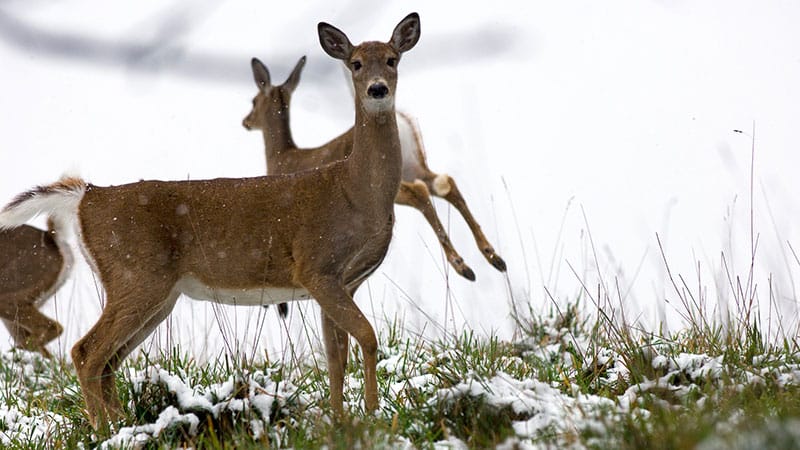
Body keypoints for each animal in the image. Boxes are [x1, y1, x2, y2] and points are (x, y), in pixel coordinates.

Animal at [242, 57, 507, 283]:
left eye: (253, 101)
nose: (246, 121)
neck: (282, 156)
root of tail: (400, 121)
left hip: (396, 184)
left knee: (421, 193)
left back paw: (463, 265)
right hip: (416, 166)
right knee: (446, 184)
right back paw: (494, 258)